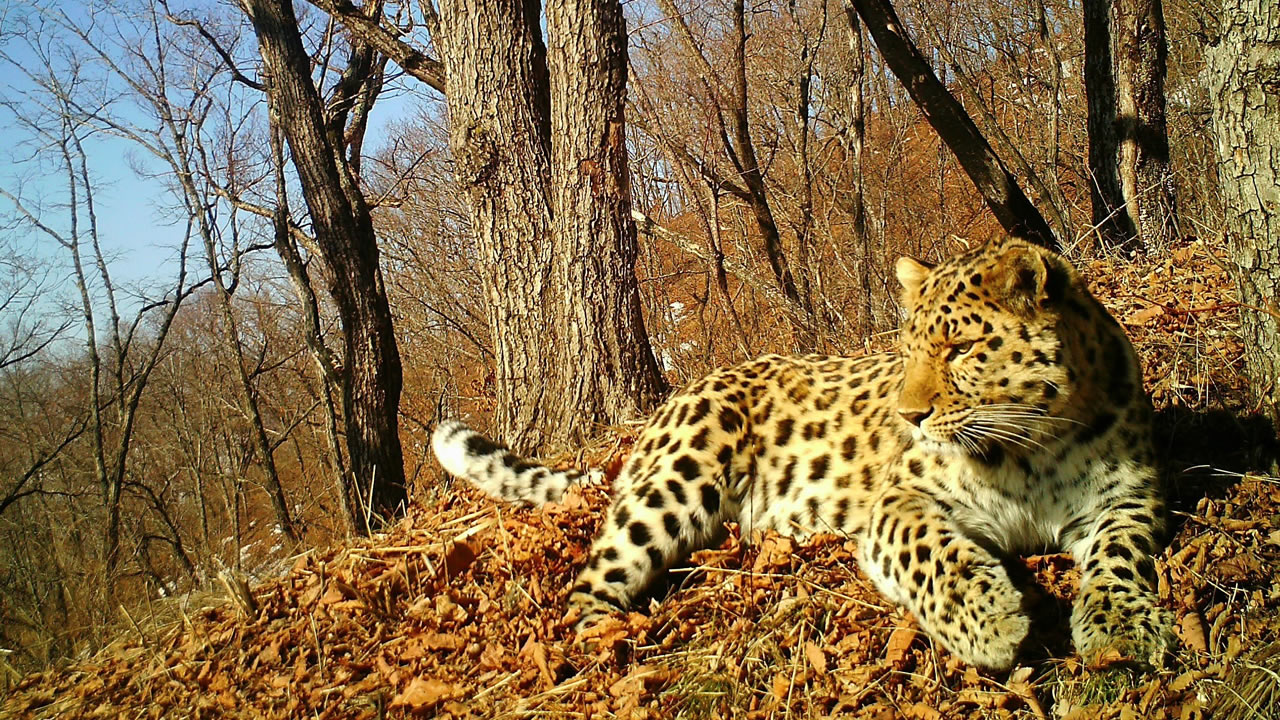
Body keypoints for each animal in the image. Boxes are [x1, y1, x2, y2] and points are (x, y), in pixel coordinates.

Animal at [432, 236, 1172, 671]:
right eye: (910, 348)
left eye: (960, 348)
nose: (909, 415)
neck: (1037, 444)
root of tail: (669, 405)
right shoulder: (901, 500)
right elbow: (933, 554)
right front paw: (992, 623)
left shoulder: (1128, 494)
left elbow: (1120, 555)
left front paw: (1119, 628)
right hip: (677, 479)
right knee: (588, 584)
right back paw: (610, 645)